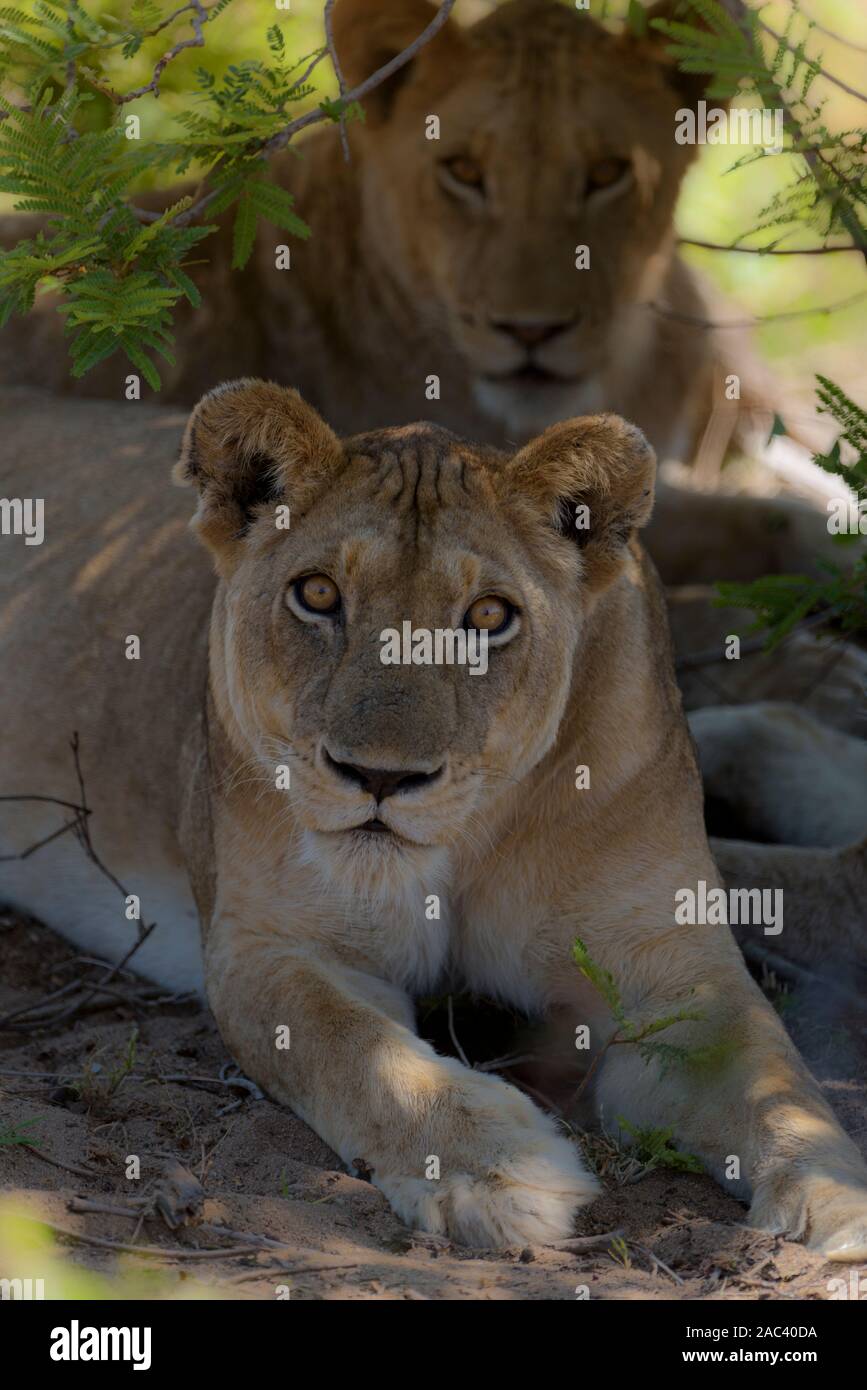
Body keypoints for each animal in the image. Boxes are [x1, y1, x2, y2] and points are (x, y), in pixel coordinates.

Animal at [2, 379, 866, 1255]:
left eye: (487, 617)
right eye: (318, 595)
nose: (381, 776)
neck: (462, 849)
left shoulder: (673, 971)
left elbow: (775, 1087)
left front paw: (837, 1203)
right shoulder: (266, 948)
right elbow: (358, 1052)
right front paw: (494, 1170)